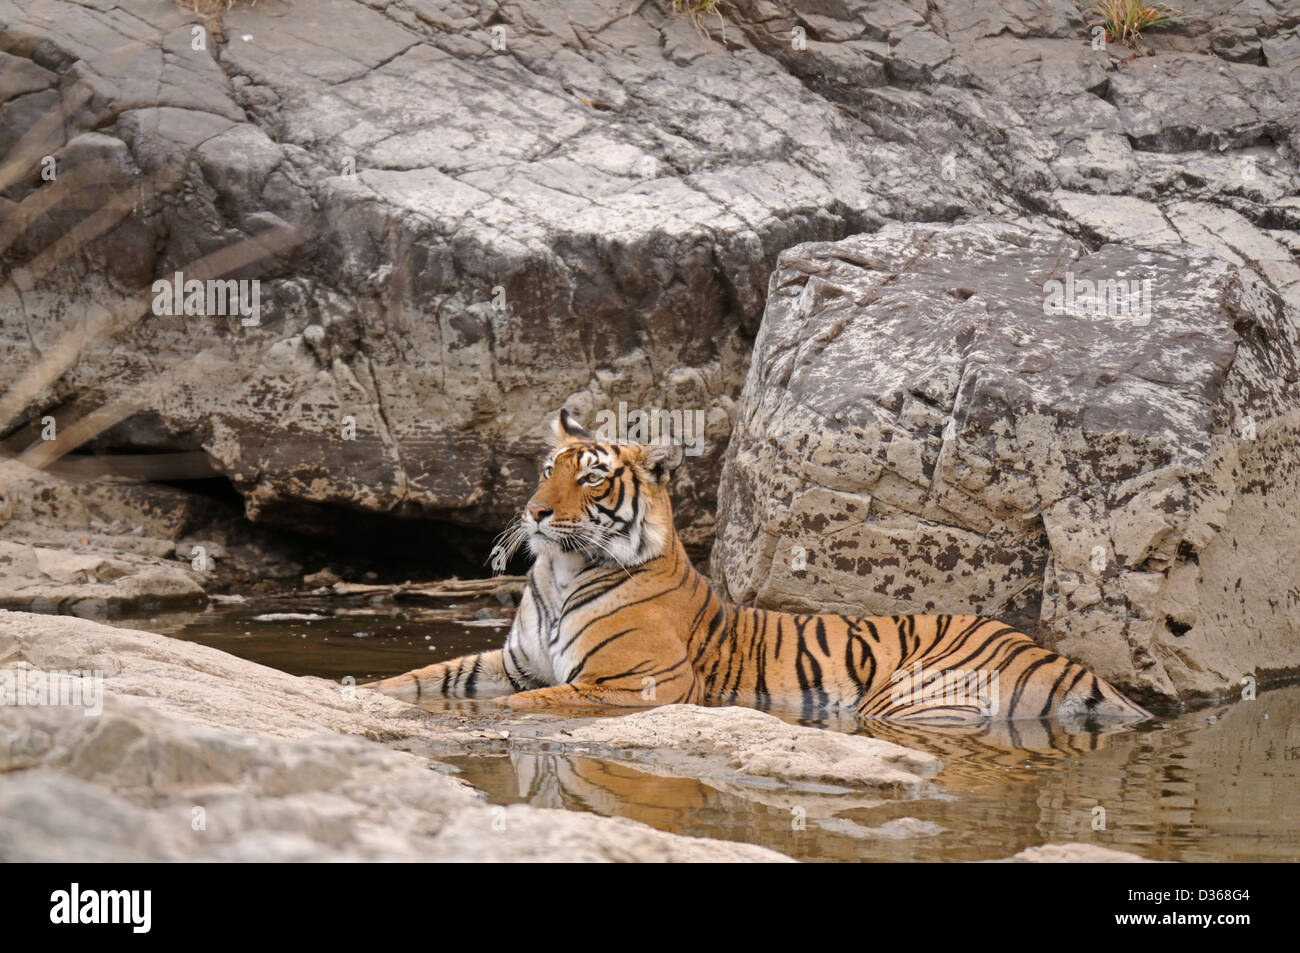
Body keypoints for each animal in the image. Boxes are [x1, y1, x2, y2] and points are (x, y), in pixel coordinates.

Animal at [371, 409, 1151, 726]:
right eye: (545, 469)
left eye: (590, 478)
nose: (533, 513)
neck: (559, 574)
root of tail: (1078, 666)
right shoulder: (513, 662)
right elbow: (426, 678)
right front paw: (366, 693)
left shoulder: (636, 683)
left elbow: (526, 704)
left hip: (908, 694)